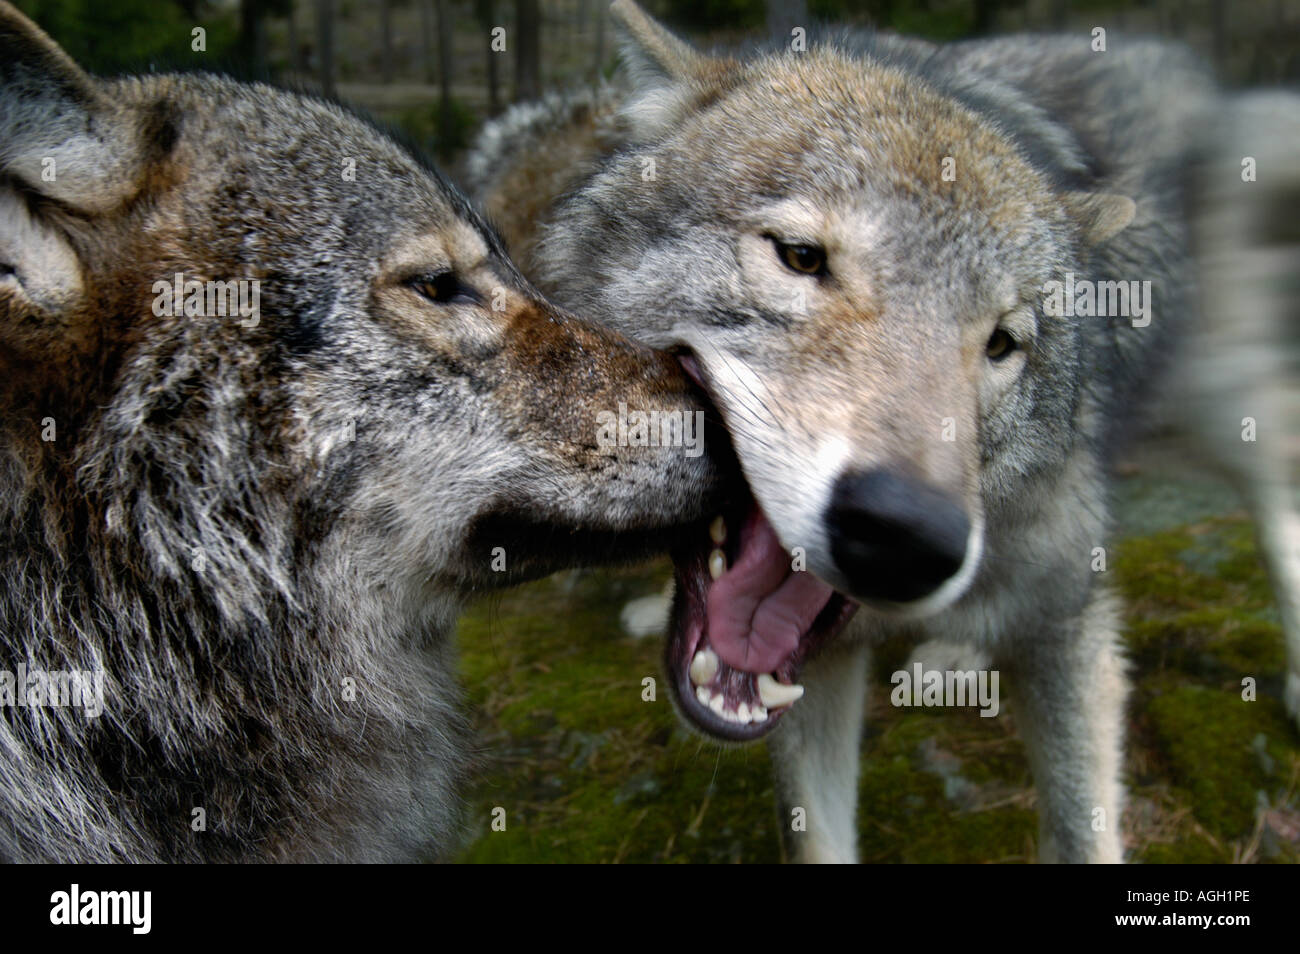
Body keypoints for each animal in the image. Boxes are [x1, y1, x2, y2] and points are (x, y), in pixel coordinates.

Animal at [470, 0, 1300, 862]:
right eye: (801, 257)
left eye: (1001, 342)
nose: (908, 537)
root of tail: (1187, 71)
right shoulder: (817, 673)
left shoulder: (1072, 626)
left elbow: (1082, 825)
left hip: (1204, 406)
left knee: (1278, 460)